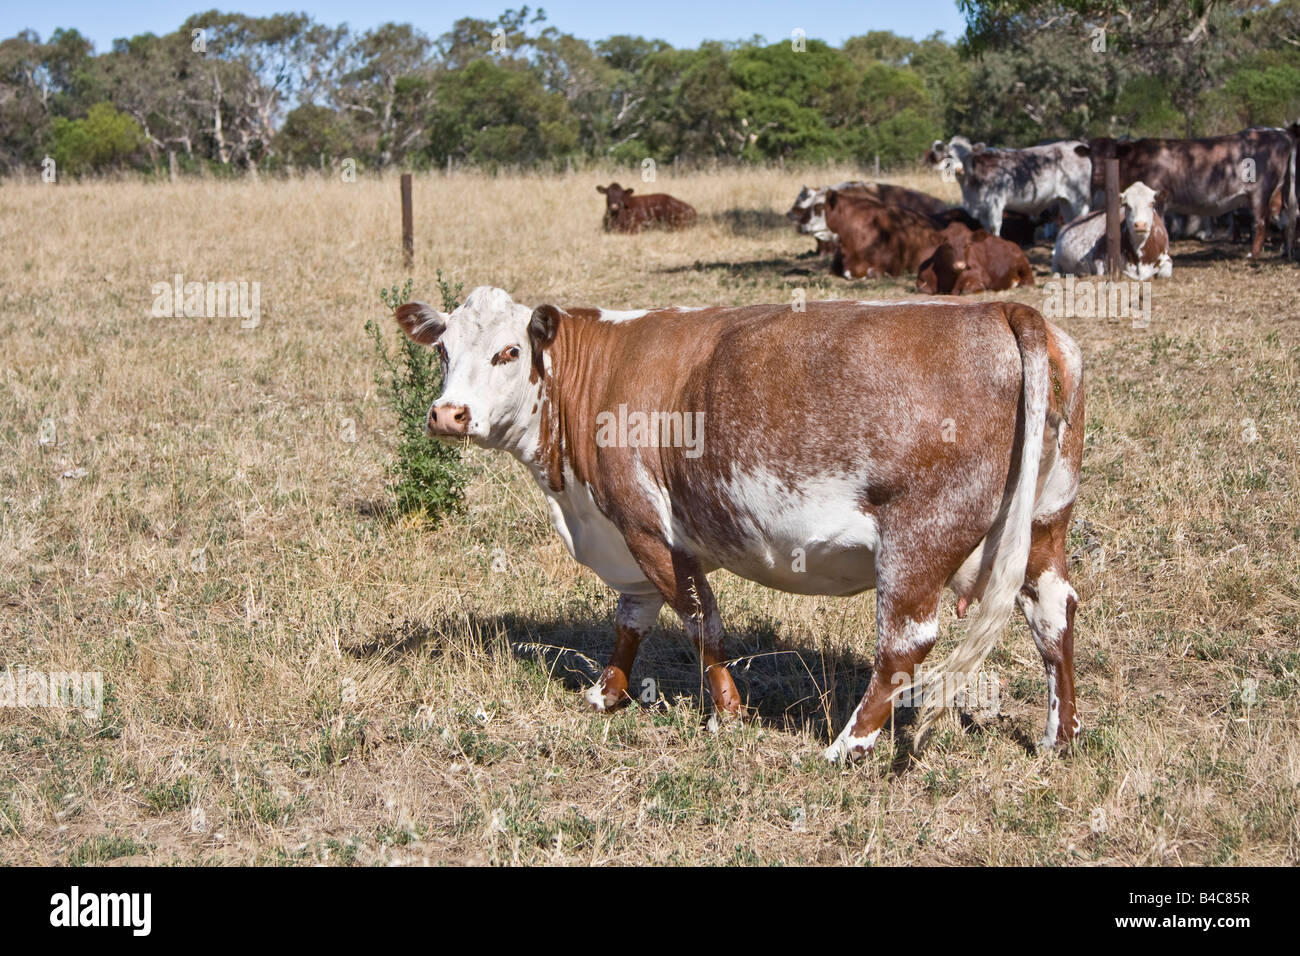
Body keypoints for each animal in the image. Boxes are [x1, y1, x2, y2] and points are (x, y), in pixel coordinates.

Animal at [391, 286, 1086, 761]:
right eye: (444, 350)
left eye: (509, 352)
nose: (447, 414)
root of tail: (999, 309)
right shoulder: (625, 534)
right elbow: (631, 620)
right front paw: (607, 694)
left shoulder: (649, 528)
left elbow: (701, 622)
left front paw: (727, 714)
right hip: (1045, 522)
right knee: (1054, 612)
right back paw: (1060, 736)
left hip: (918, 538)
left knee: (905, 641)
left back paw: (847, 747)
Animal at [927, 136, 1092, 239]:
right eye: (949, 155)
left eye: (968, 155)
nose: (959, 168)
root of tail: (1077, 146)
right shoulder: (981, 208)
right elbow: (986, 228)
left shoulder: (995, 203)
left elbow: (995, 227)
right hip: (1065, 200)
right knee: (1070, 219)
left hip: (1079, 197)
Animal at [1082, 125, 1300, 258]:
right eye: (1091, 156)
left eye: (1112, 154)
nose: (1097, 177)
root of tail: (1281, 132)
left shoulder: (1158, 197)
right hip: (1280, 192)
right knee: (1285, 219)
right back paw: (1285, 251)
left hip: (1260, 193)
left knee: (1262, 222)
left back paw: (1252, 254)